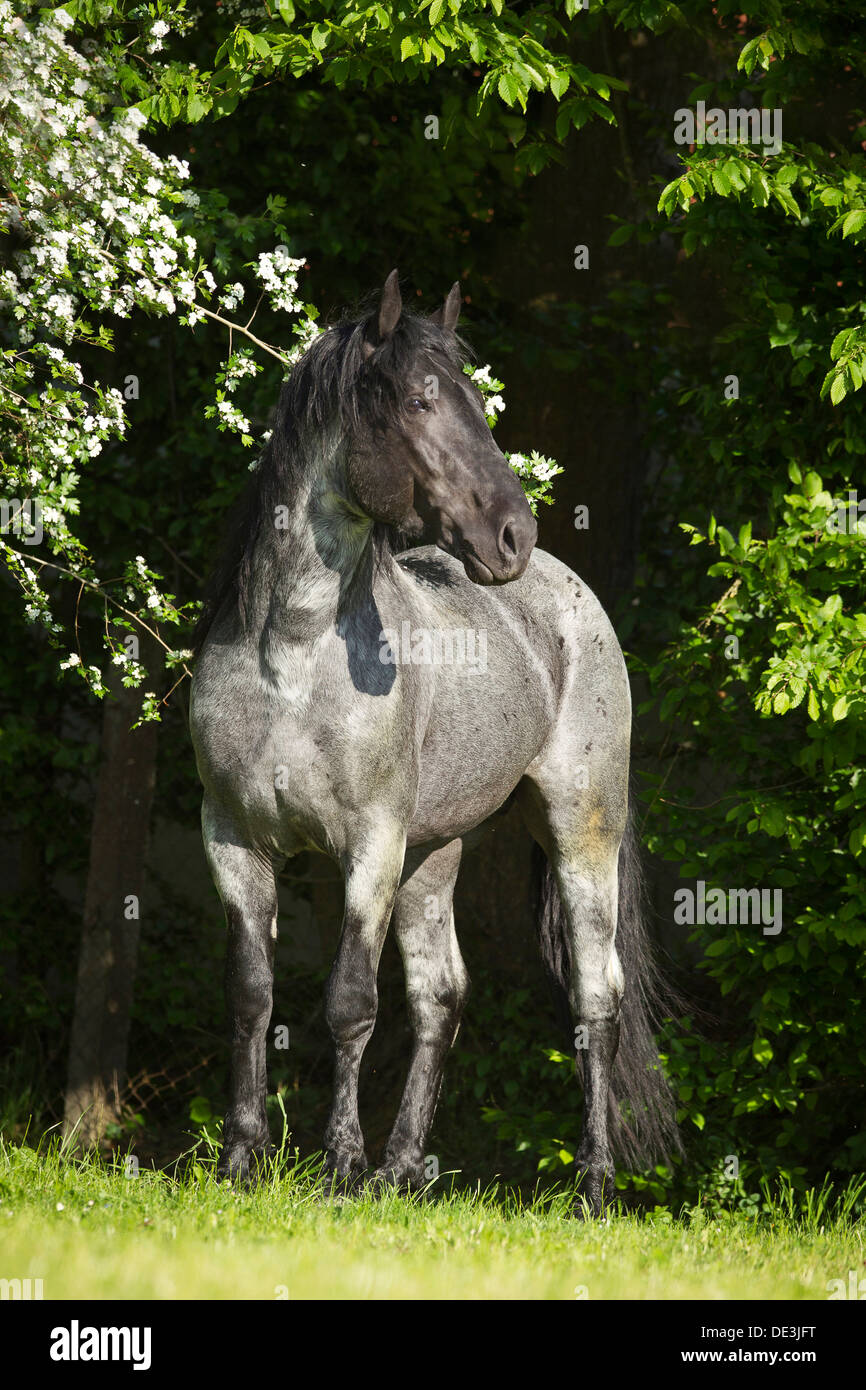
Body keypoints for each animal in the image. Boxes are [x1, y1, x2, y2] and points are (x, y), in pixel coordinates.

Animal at [190, 270, 679, 1215]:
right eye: (421, 400)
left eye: (476, 404)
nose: (513, 535)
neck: (291, 657)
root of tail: (569, 594)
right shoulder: (232, 841)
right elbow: (250, 997)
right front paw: (241, 1162)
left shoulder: (370, 844)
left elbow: (349, 1001)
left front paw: (338, 1167)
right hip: (435, 852)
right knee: (440, 994)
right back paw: (403, 1170)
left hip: (579, 831)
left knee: (595, 999)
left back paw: (592, 1187)